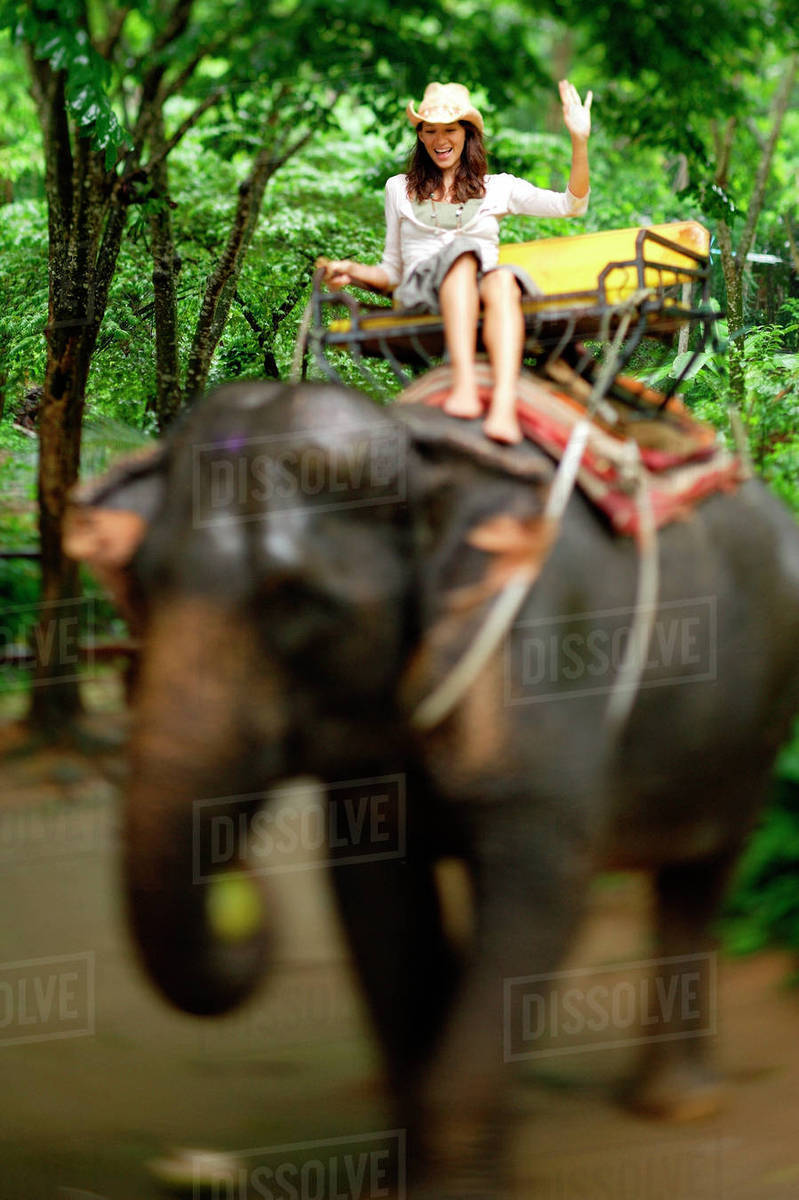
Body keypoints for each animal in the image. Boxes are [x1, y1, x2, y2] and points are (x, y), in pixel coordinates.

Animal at [66, 379, 799, 1198]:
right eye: (144, 584)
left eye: (297, 601)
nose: (240, 893)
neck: (423, 451)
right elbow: (379, 901)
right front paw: (403, 1172)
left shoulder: (545, 653)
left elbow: (538, 889)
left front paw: (453, 1183)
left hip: (760, 724)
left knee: (701, 877)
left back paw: (677, 1106)